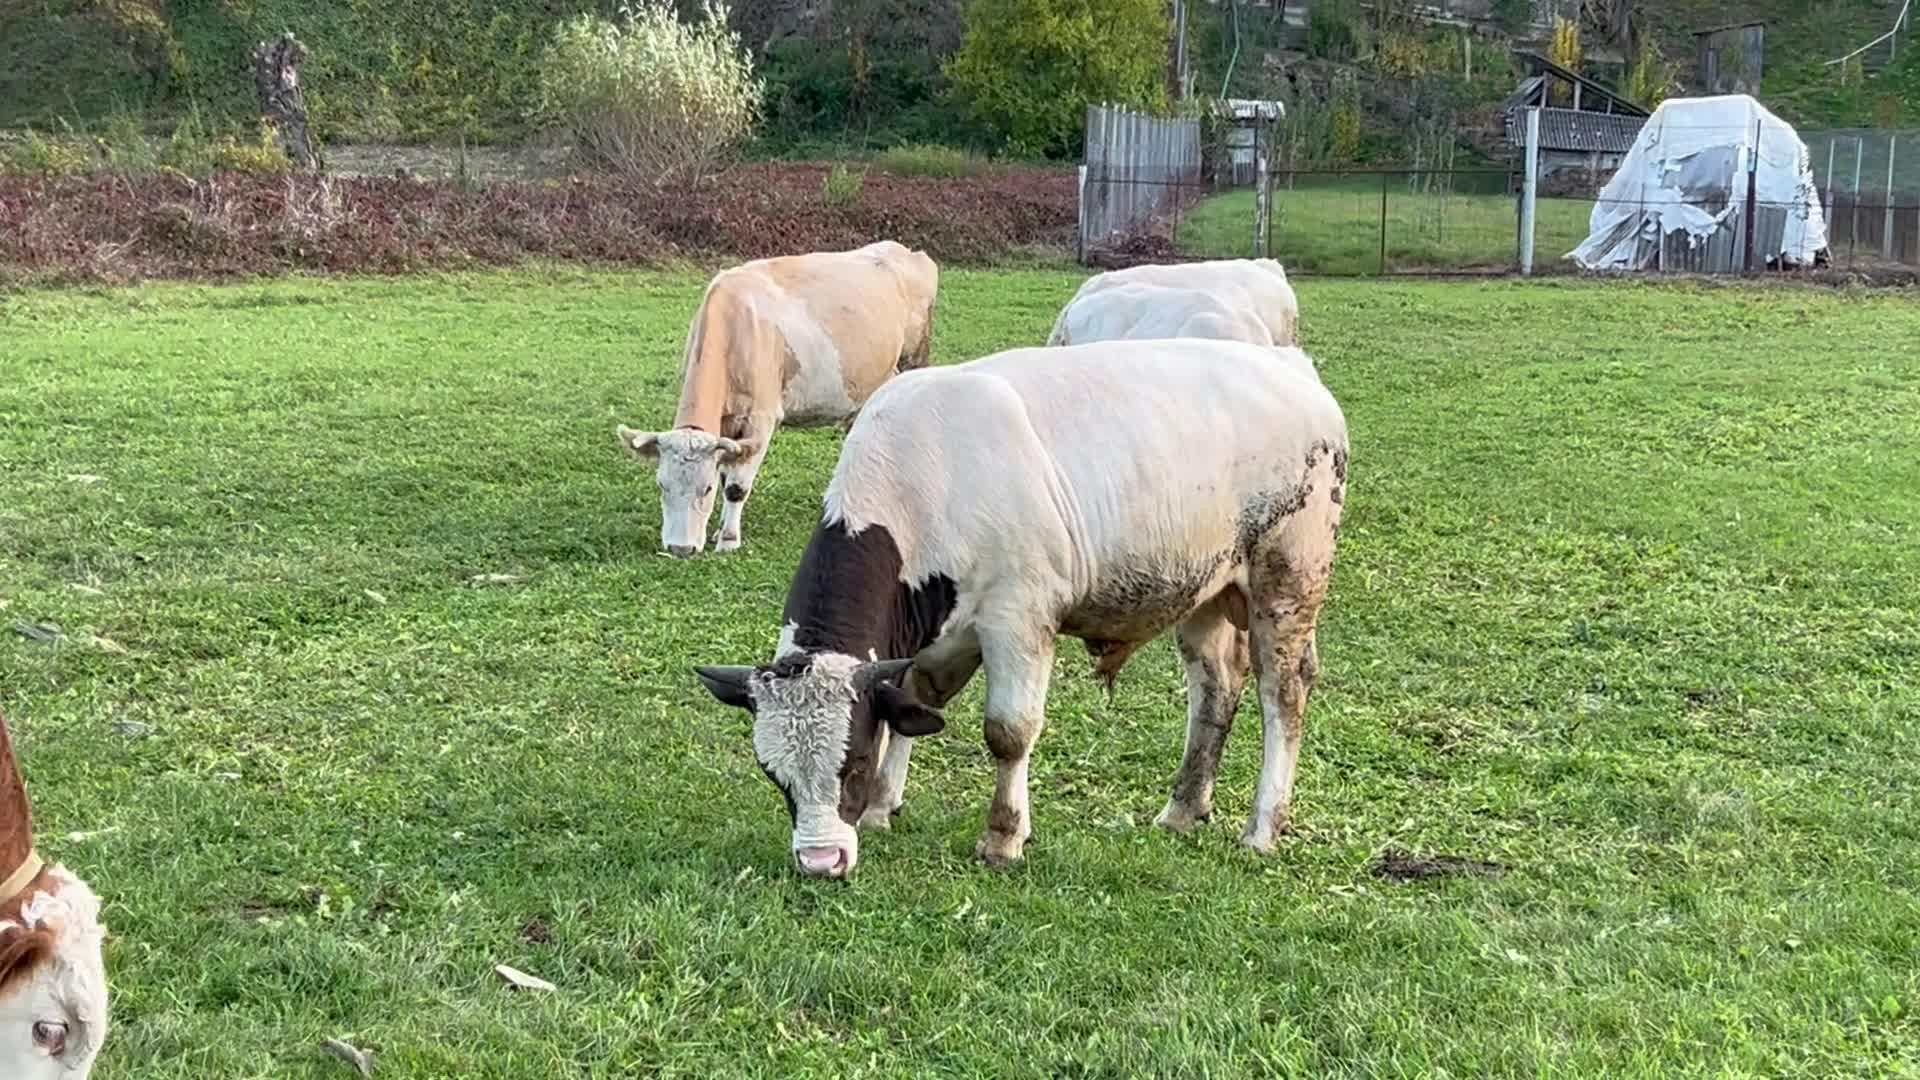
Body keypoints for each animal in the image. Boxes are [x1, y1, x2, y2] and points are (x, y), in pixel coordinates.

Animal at [616, 240, 940, 557]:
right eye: (661, 484)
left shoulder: (761, 416)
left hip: (915, 358)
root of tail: (906, 250)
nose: (679, 548)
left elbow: (736, 486)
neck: (734, 326)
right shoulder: (727, 422)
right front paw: (719, 532)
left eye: (705, 489)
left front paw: (729, 540)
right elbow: (728, 473)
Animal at [693, 339, 1347, 878]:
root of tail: (1290, 364)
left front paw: (1003, 838)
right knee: (1216, 688)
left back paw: (1262, 827)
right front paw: (883, 805)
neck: (924, 478)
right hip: (1205, 591)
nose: (820, 861)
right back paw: (1183, 808)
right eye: (775, 775)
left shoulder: (1019, 620)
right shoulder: (935, 639)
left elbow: (1008, 732)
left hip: (1288, 583)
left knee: (1282, 694)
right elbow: (913, 704)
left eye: (849, 764)